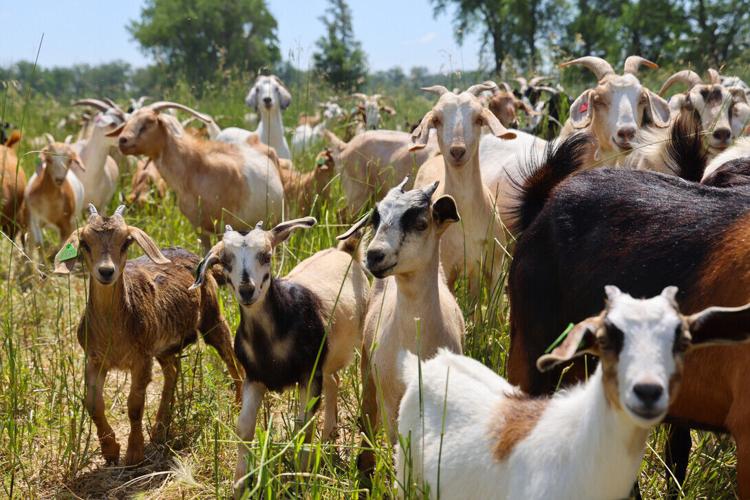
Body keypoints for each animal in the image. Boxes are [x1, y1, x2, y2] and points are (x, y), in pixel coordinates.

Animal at [53, 205, 242, 466]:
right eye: (85, 243)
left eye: (125, 242)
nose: (106, 271)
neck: (114, 332)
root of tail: (201, 260)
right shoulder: (94, 358)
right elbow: (92, 404)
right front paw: (110, 450)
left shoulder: (141, 357)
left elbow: (134, 405)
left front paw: (134, 452)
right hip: (163, 345)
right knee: (173, 371)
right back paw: (160, 429)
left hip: (212, 317)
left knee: (232, 360)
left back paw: (239, 408)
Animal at [191, 217, 369, 494]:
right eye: (225, 260)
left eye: (266, 255)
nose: (246, 289)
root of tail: (347, 252)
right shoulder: (254, 378)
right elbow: (244, 428)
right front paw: (239, 486)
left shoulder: (309, 375)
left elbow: (303, 427)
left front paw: (300, 481)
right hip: (327, 361)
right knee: (334, 381)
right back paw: (330, 436)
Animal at [339, 179, 464, 475]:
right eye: (376, 219)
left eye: (421, 223)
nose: (375, 255)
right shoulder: (390, 398)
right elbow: (399, 444)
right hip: (368, 366)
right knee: (368, 412)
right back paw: (365, 467)